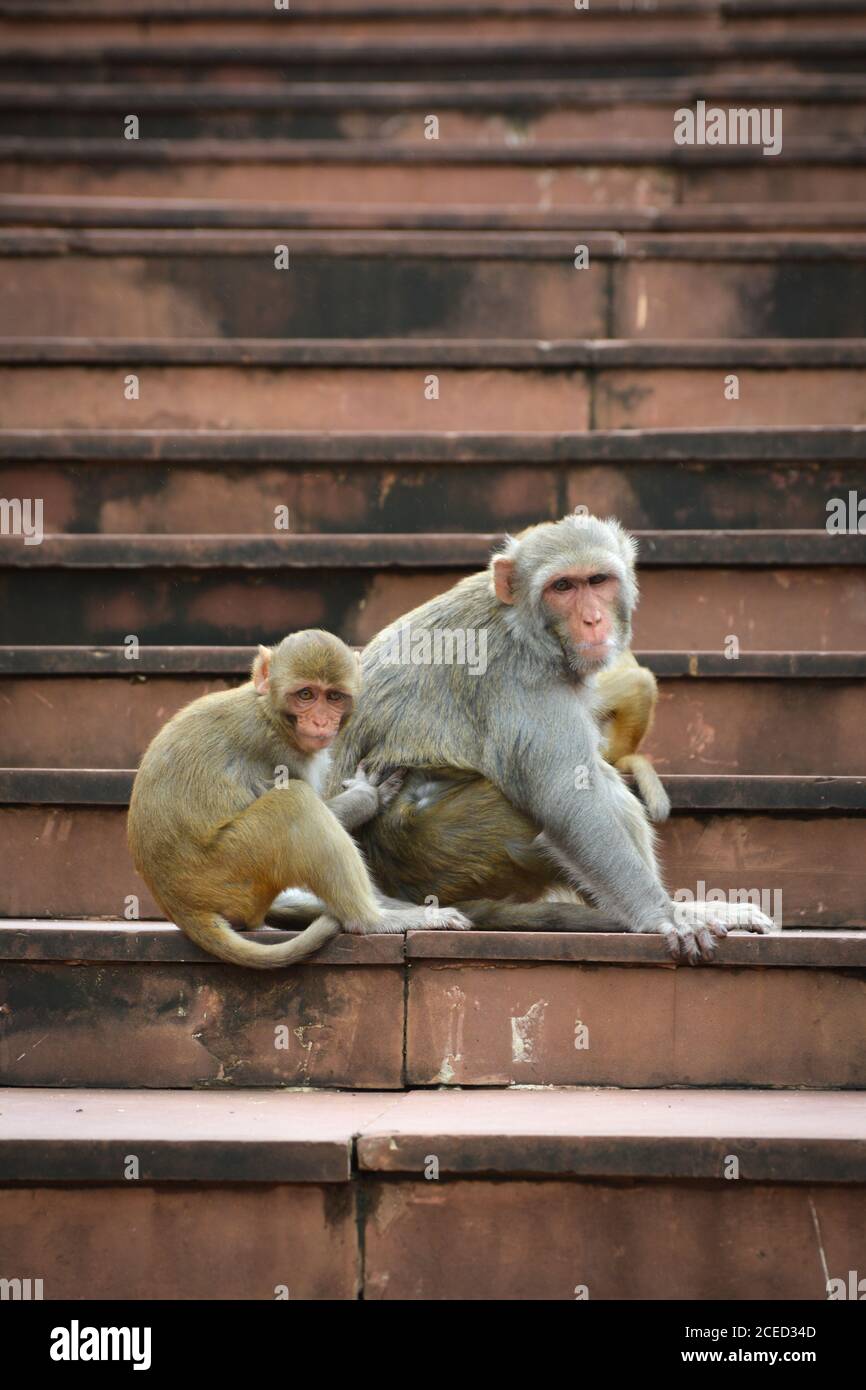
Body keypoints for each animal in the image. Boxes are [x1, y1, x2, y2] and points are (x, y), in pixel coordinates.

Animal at [127, 629, 468, 969]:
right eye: (306, 695)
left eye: (333, 697)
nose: (320, 723)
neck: (269, 711)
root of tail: (183, 910)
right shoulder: (283, 754)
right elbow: (316, 803)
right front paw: (367, 796)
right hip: (233, 870)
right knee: (294, 803)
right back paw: (372, 919)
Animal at [329, 516, 776, 964]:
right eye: (562, 587)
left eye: (597, 580)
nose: (593, 619)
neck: (522, 624)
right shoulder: (519, 681)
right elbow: (570, 800)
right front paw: (662, 916)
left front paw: (680, 912)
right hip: (446, 845)